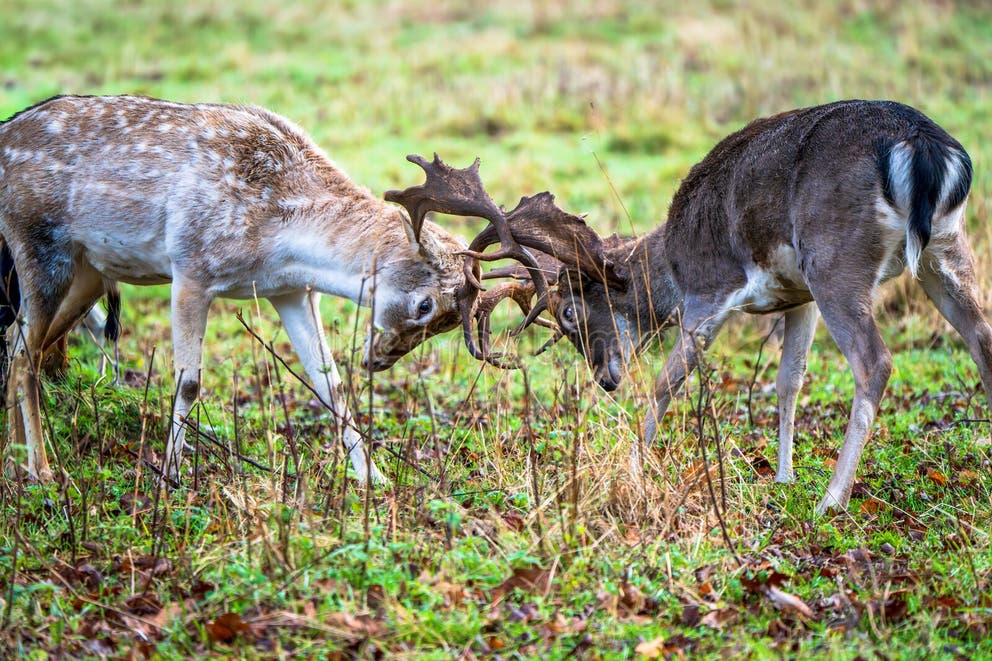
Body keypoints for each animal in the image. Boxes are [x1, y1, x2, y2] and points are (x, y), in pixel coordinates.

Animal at [0, 94, 542, 485]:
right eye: (426, 303)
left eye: (448, 324)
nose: (379, 360)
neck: (277, 239)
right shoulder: (190, 268)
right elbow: (188, 382)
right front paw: (168, 479)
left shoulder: (291, 292)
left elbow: (330, 384)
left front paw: (375, 479)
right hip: (37, 242)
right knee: (25, 354)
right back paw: (44, 473)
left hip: (90, 270)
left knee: (21, 344)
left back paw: (14, 460)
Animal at [464, 100, 992, 515]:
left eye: (570, 312)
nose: (605, 378)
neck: (672, 266)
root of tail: (925, 149)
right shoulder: (799, 297)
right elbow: (788, 380)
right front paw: (783, 477)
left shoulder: (711, 291)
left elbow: (667, 382)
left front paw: (630, 469)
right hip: (943, 250)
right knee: (982, 339)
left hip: (836, 258)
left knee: (876, 362)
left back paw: (832, 500)